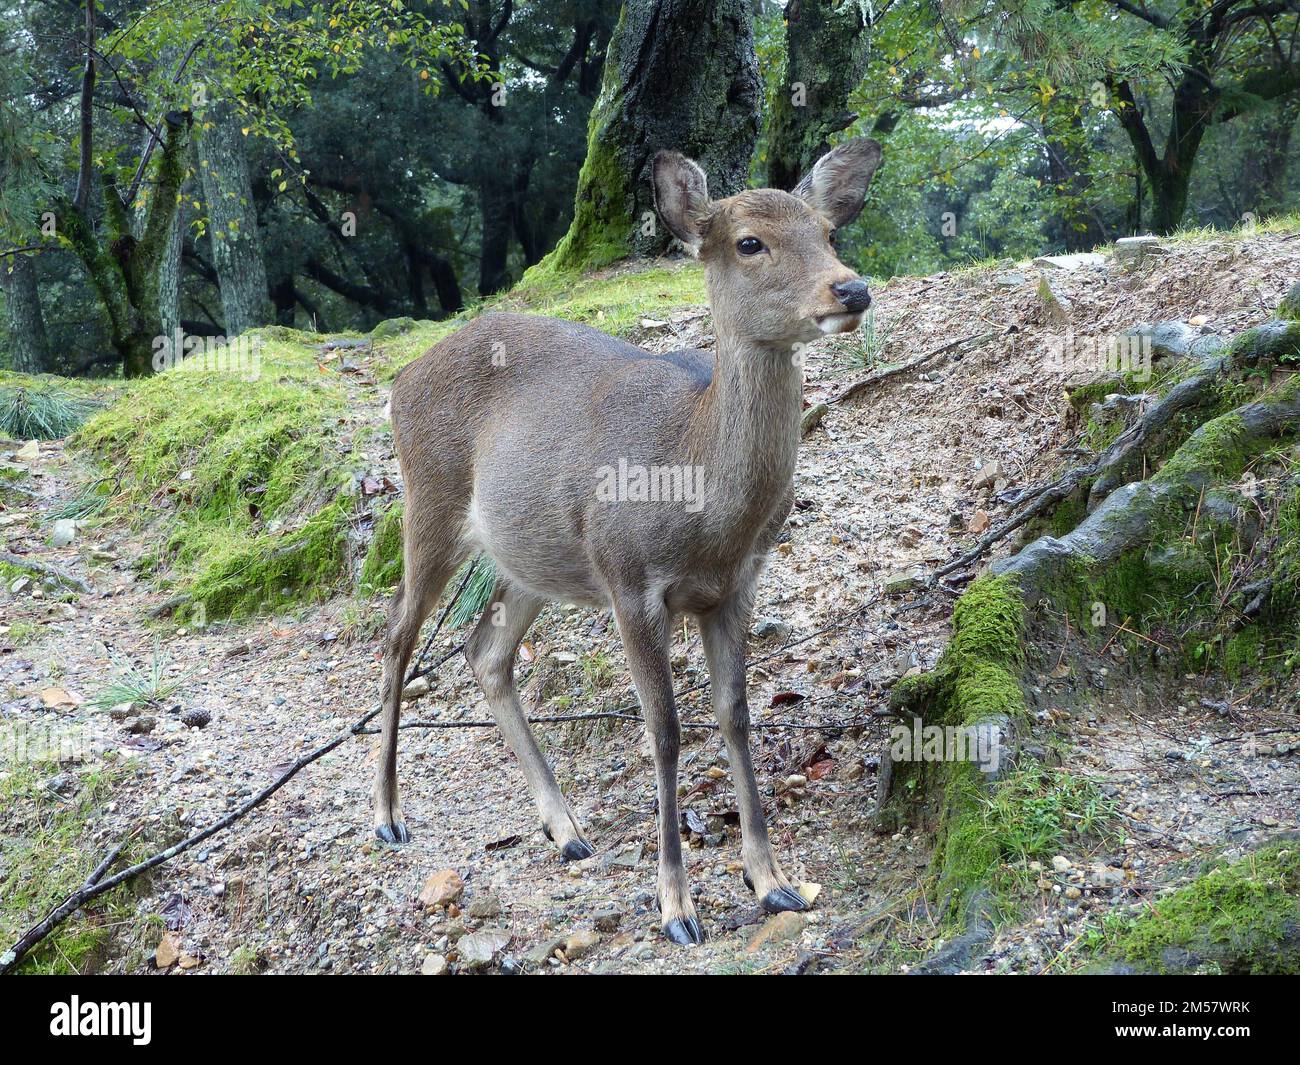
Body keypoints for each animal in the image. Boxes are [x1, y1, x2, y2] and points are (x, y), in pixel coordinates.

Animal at [375, 138, 882, 945]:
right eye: (749, 242)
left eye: (829, 232)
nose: (852, 289)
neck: (704, 505)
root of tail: (400, 379)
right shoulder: (631, 579)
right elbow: (665, 729)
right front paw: (678, 908)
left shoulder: (735, 586)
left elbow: (736, 714)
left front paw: (773, 882)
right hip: (431, 499)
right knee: (396, 636)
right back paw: (389, 815)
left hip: (536, 559)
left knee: (485, 650)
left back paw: (567, 830)